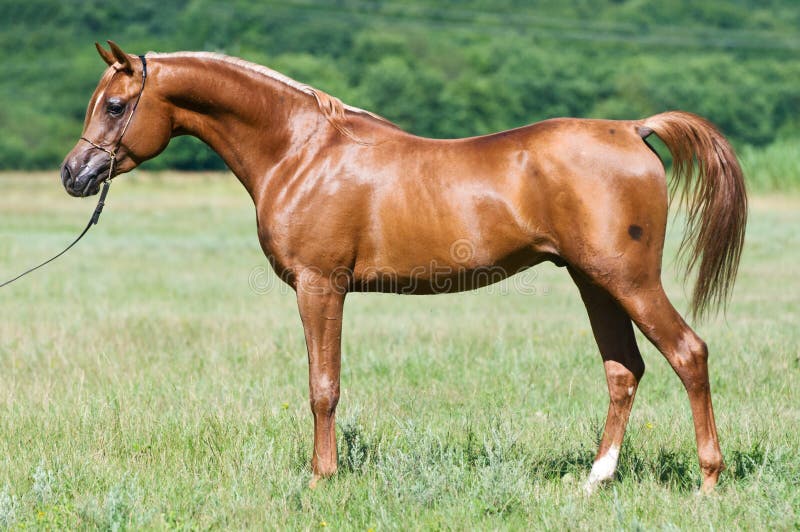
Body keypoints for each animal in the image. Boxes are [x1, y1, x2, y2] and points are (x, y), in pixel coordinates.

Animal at [61, 41, 746, 493]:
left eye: (116, 106)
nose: (74, 174)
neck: (301, 151)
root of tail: (632, 130)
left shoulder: (320, 288)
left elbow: (323, 387)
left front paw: (322, 480)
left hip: (629, 281)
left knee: (688, 353)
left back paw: (708, 482)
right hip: (594, 282)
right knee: (624, 369)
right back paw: (595, 479)